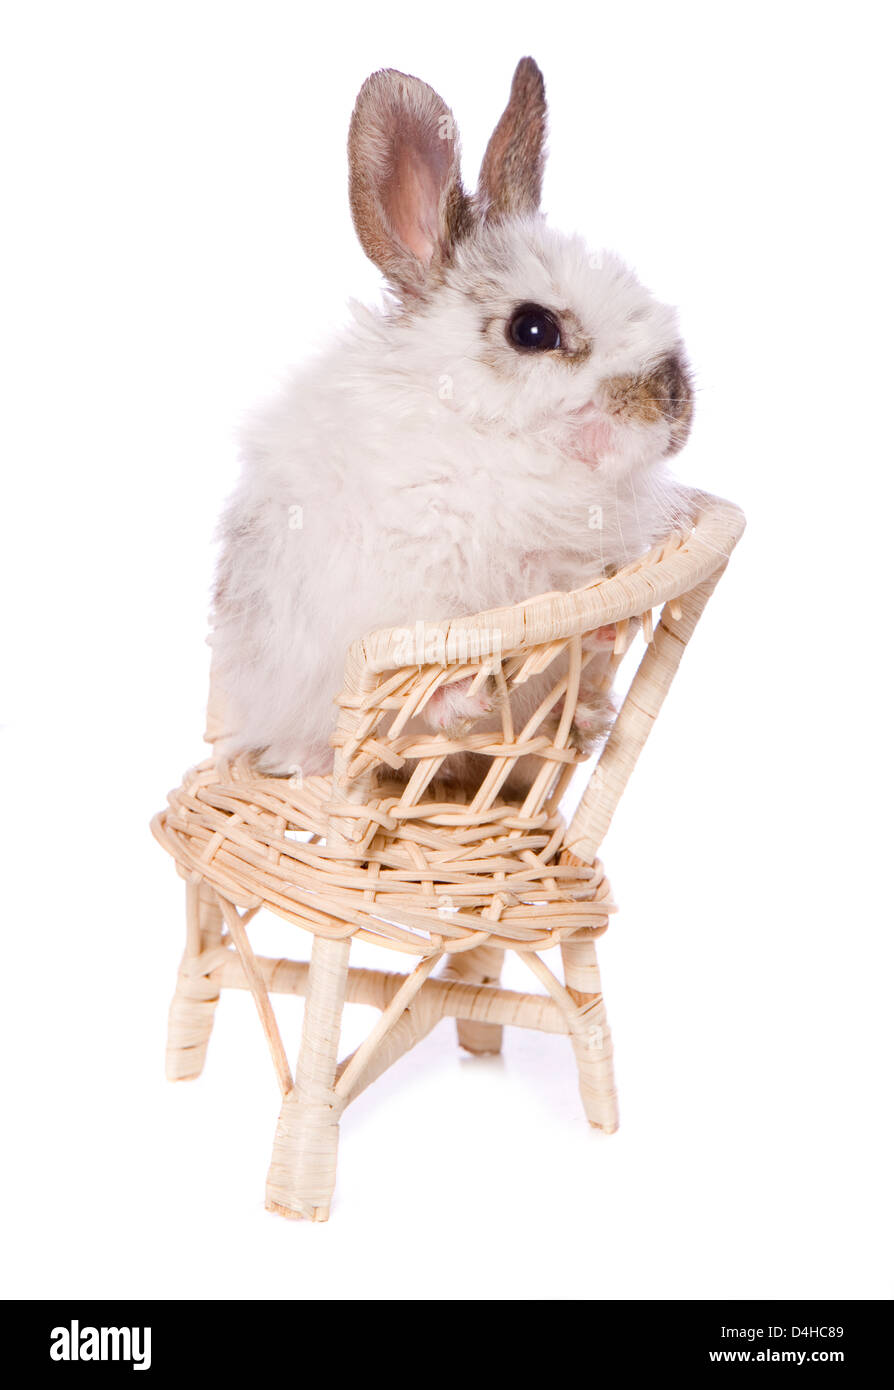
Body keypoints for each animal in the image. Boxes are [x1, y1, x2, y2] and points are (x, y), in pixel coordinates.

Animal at [209, 57, 694, 785]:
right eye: (532, 329)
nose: (674, 409)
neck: (502, 444)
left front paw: (611, 632)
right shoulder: (408, 593)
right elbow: (414, 664)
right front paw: (457, 700)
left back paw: (586, 719)